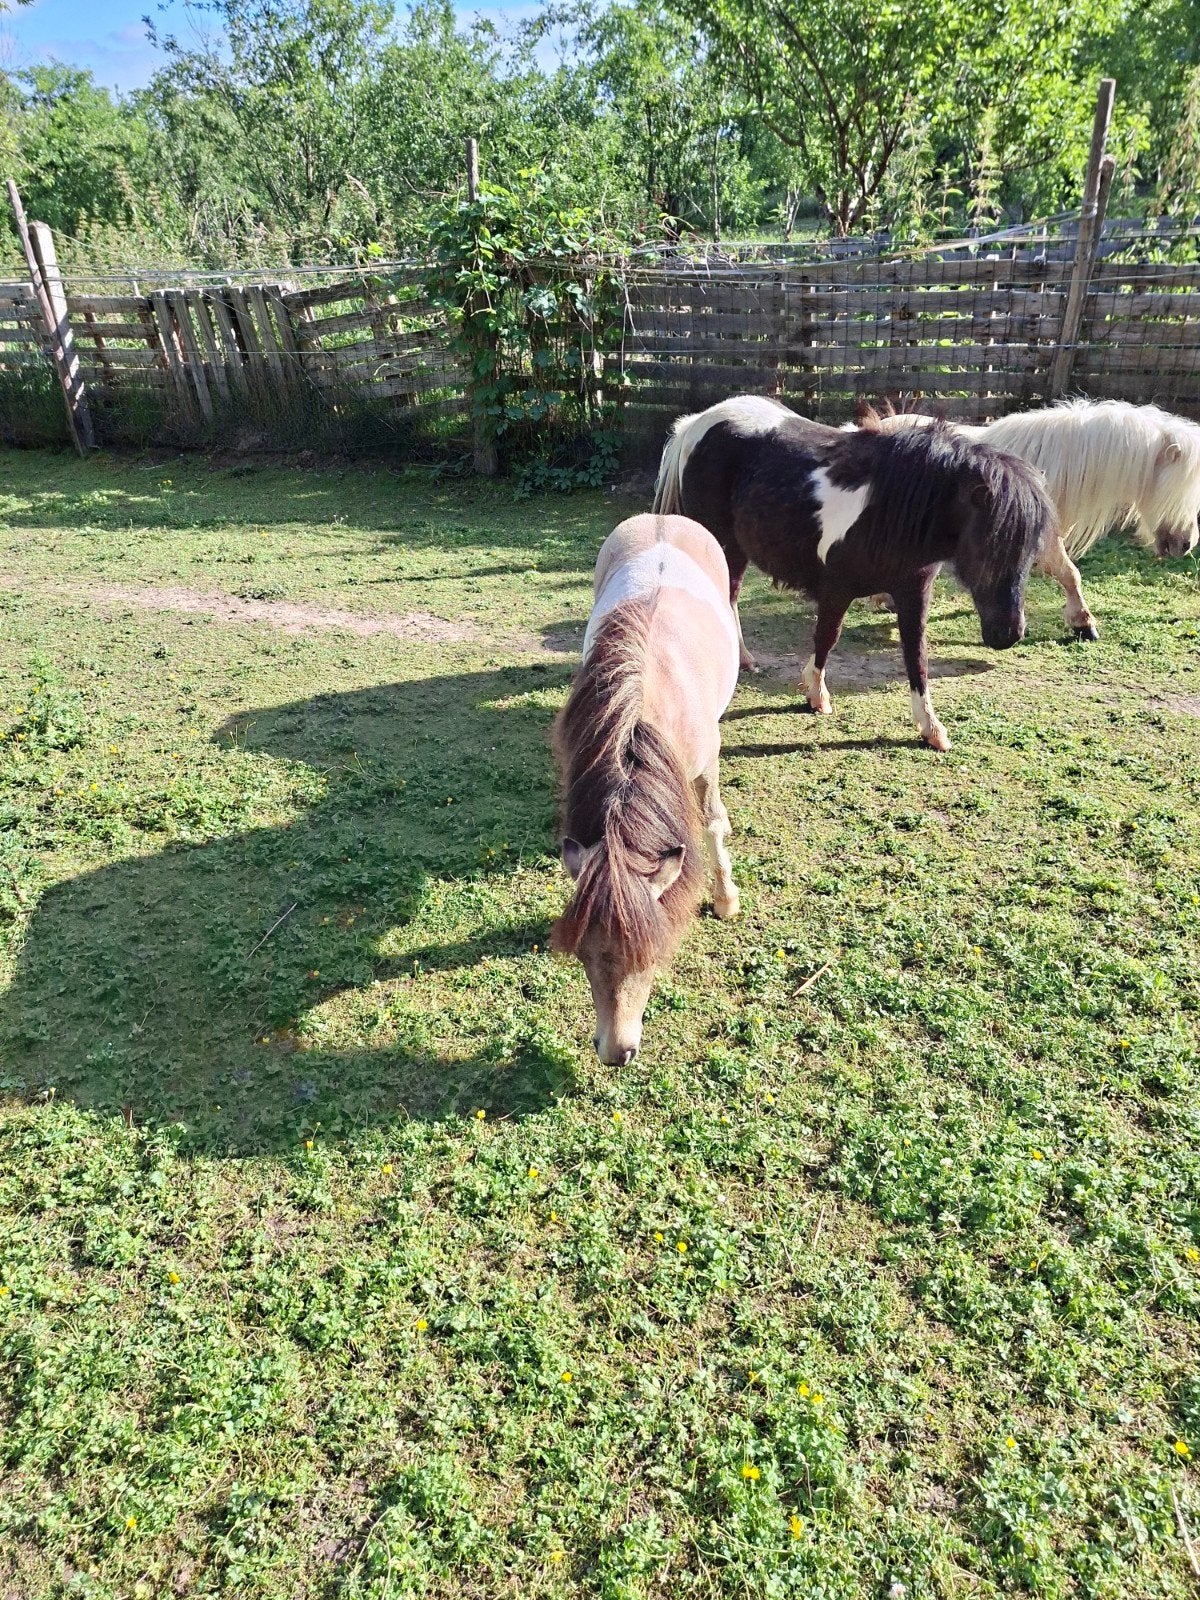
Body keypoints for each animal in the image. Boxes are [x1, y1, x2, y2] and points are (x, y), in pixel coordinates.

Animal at [552, 513, 741, 1065]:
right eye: (582, 954)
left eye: (654, 954)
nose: (616, 1052)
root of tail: (663, 518)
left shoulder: (706, 765)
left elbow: (713, 824)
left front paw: (725, 899)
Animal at [652, 394, 1056, 751]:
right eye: (989, 545)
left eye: (1030, 550)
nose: (1008, 634)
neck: (890, 509)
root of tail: (695, 425)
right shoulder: (836, 589)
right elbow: (826, 638)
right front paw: (816, 695)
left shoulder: (914, 593)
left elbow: (917, 656)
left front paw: (931, 728)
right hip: (718, 541)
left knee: (731, 595)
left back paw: (745, 659)